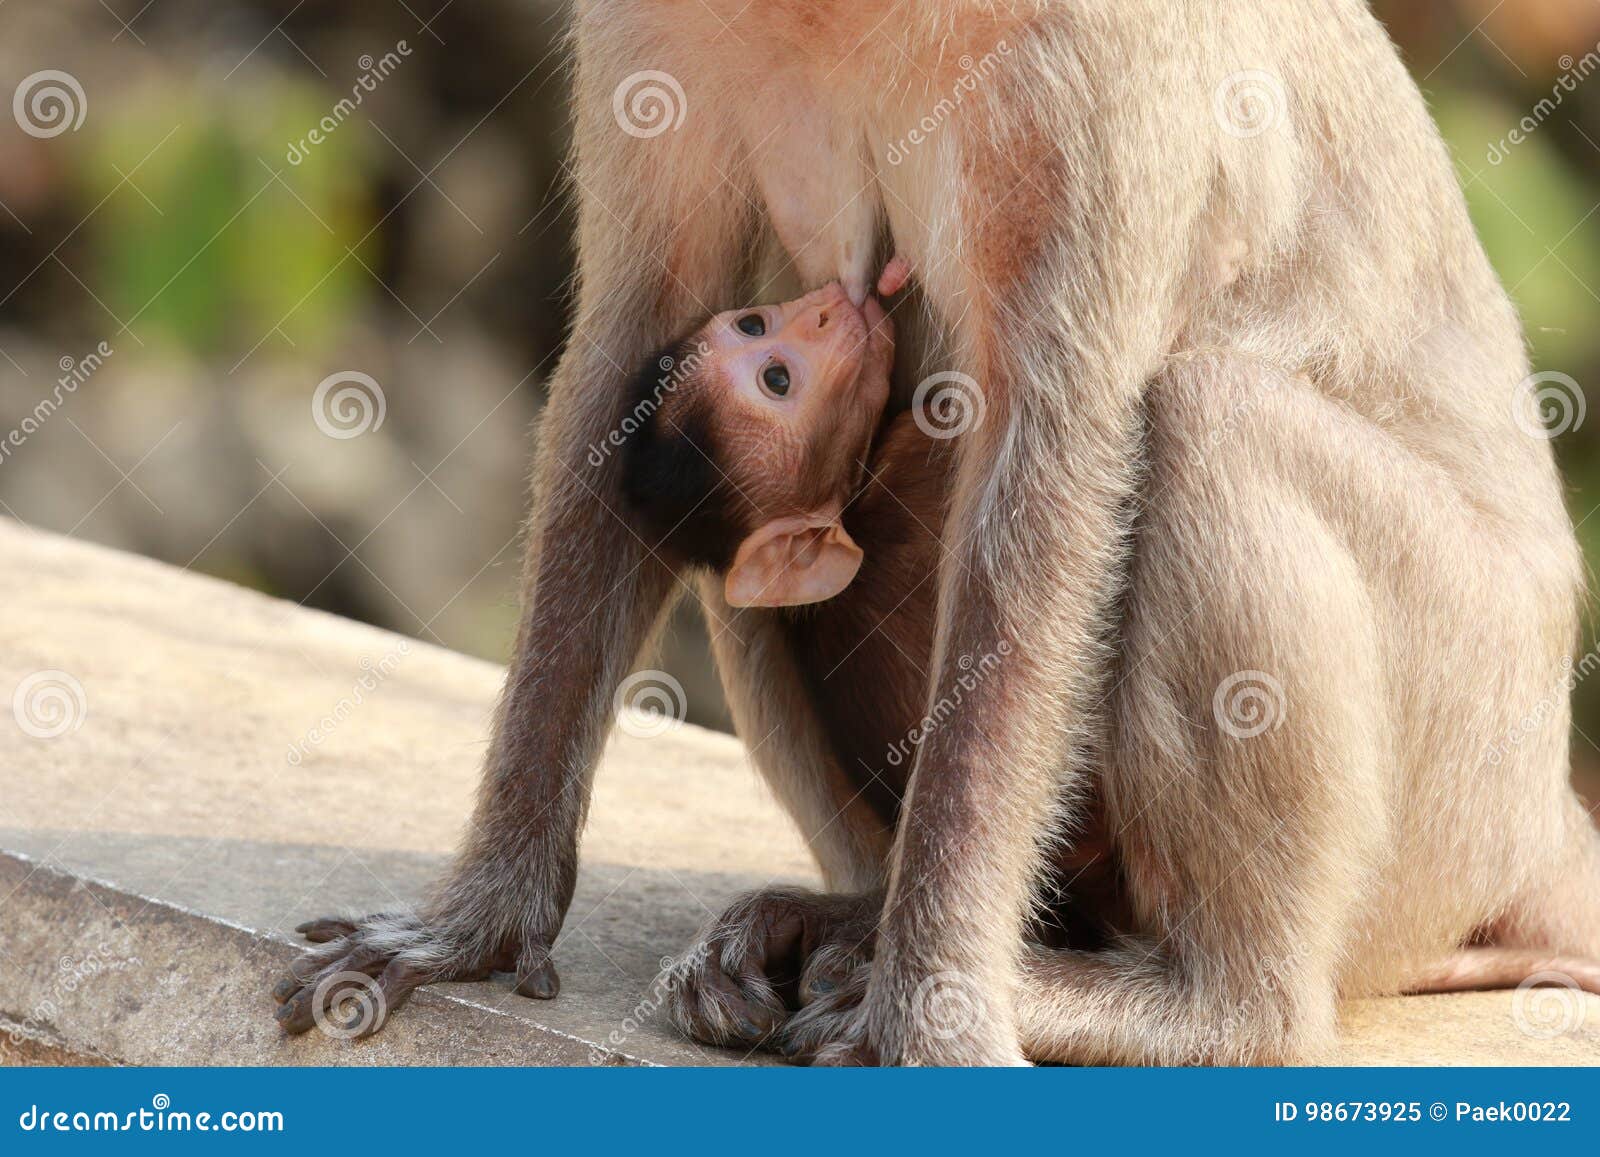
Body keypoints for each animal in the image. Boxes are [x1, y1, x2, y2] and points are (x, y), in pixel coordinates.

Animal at [274, 0, 1600, 1066]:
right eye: (760, 344)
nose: (823, 319)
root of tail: (1540, 818)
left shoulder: (1090, 59)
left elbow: (1052, 441)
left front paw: (934, 1012)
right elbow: (631, 351)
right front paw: (475, 917)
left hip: (1462, 746)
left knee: (1206, 419)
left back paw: (1212, 1006)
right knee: (761, 576)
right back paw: (847, 922)